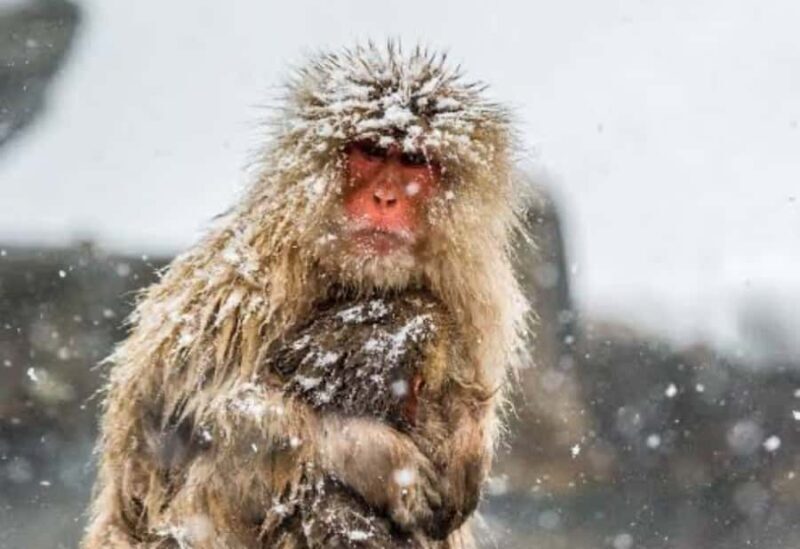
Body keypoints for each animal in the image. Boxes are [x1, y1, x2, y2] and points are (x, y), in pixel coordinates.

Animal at [82, 42, 530, 549]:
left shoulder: (475, 293)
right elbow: (189, 409)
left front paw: (468, 439)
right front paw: (376, 456)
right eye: (372, 152)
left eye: (413, 162)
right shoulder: (255, 275)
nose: (385, 199)